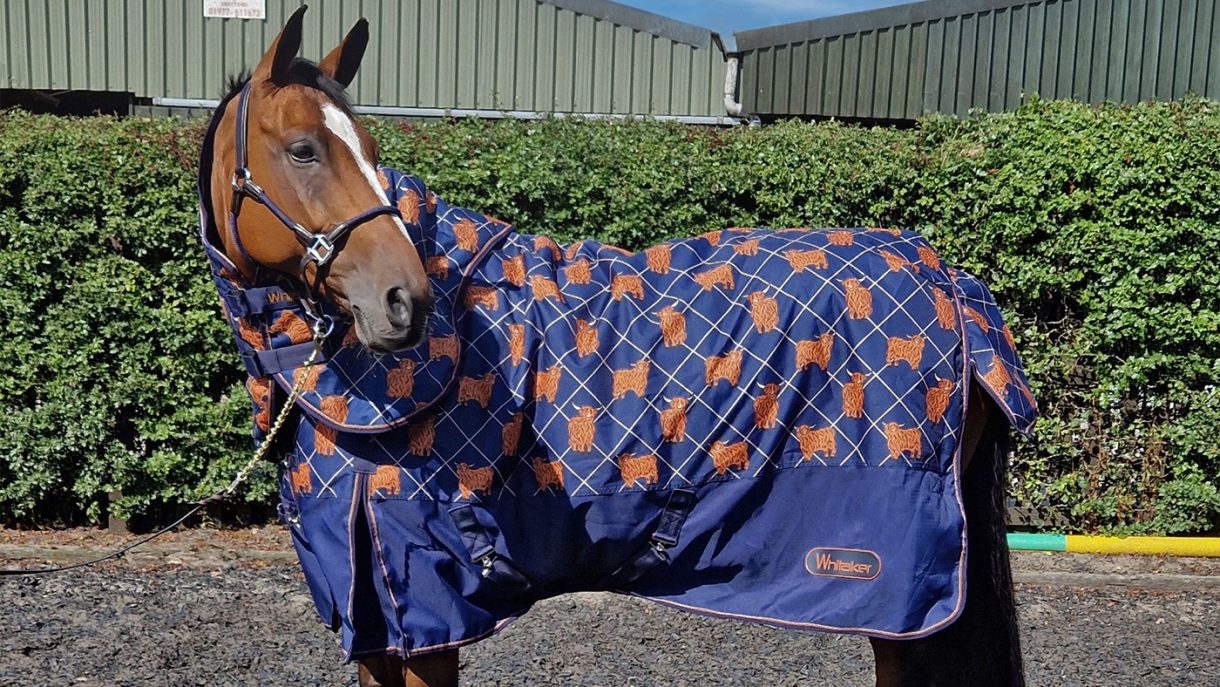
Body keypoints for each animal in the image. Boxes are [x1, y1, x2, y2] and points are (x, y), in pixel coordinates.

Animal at [198, 8, 1032, 686]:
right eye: (303, 149)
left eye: (368, 148)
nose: (404, 300)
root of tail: (953, 283)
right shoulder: (380, 624)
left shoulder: (432, 611)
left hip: (893, 598)